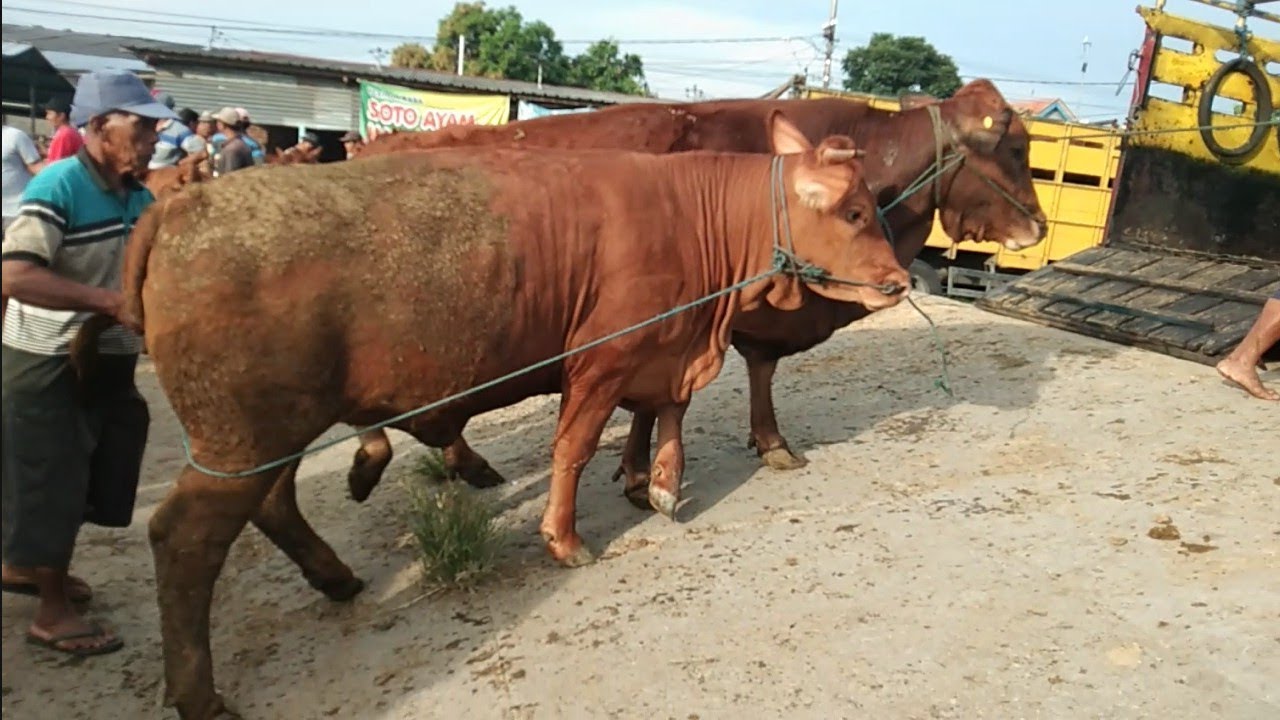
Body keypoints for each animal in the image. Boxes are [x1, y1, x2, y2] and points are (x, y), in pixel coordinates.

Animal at [77, 113, 909, 718]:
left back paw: (336, 577)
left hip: (267, 436)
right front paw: (565, 538)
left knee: (274, 504)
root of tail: (185, 202)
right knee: (185, 540)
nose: (901, 281)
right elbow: (575, 447)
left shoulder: (664, 350)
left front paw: (661, 484)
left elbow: (668, 413)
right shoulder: (602, 362)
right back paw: (200, 694)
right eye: (855, 210)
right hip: (242, 436)